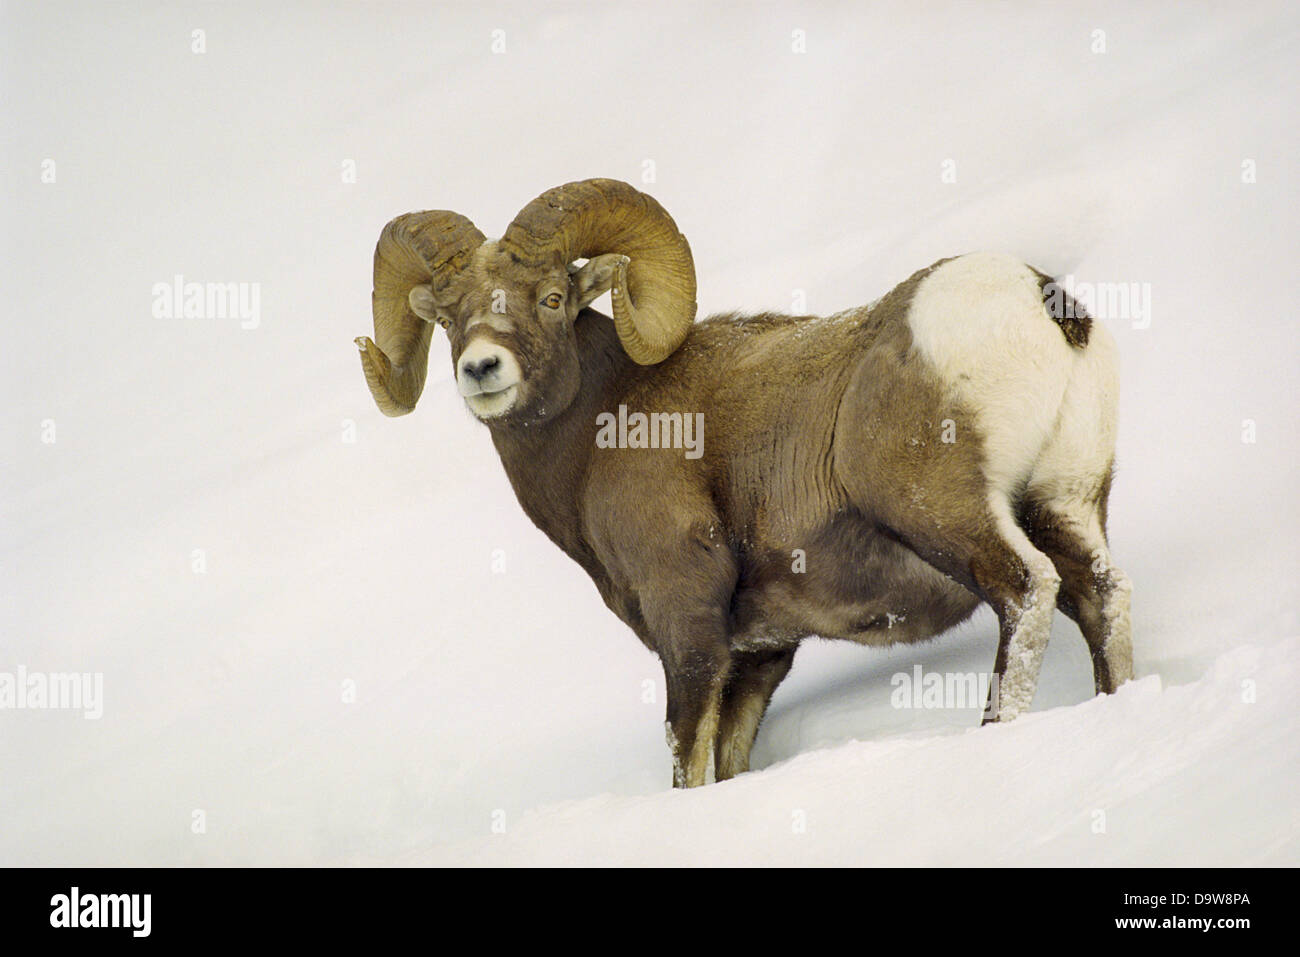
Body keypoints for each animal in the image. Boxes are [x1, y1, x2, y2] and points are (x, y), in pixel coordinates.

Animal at [354, 178, 1133, 788]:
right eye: (448, 318)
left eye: (549, 297)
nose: (481, 369)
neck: (606, 421)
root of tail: (1042, 301)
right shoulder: (759, 655)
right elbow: (729, 761)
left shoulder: (688, 624)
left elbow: (687, 757)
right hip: (1065, 503)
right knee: (1100, 595)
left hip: (946, 513)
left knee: (1025, 590)